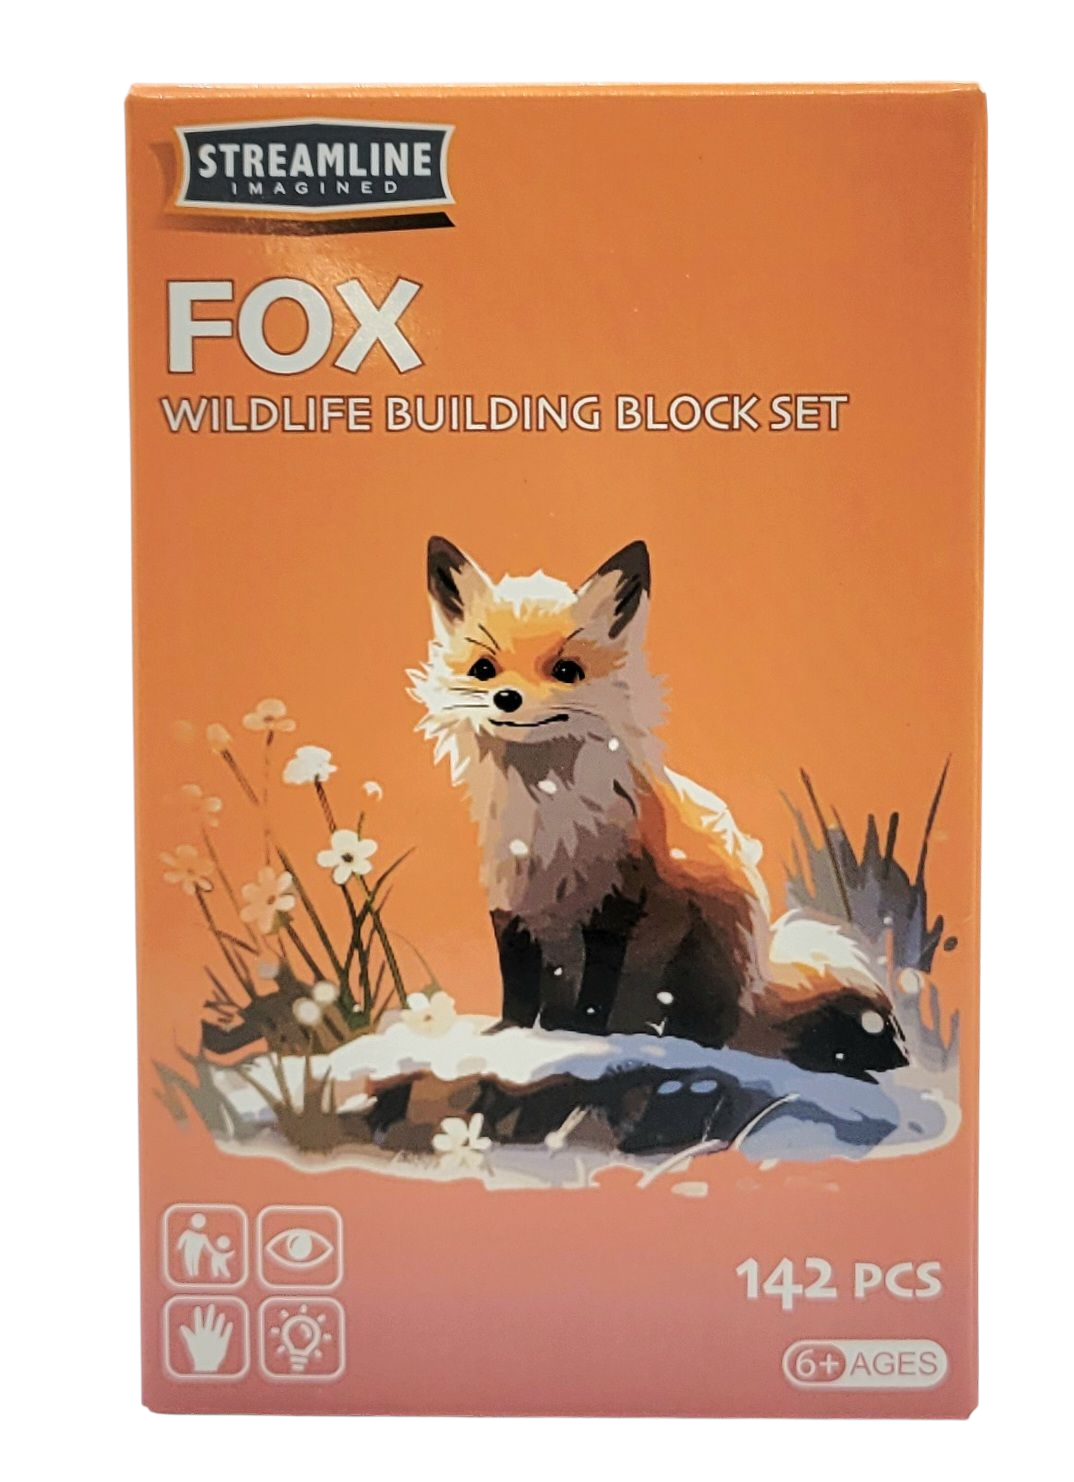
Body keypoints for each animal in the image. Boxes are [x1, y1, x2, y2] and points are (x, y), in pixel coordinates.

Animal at [409, 536, 909, 1080]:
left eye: (566, 671)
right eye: (484, 669)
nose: (506, 698)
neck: (548, 827)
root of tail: (756, 986)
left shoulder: (617, 903)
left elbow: (594, 994)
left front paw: (582, 1037)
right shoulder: (512, 906)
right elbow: (518, 991)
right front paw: (510, 1036)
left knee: (705, 1031)